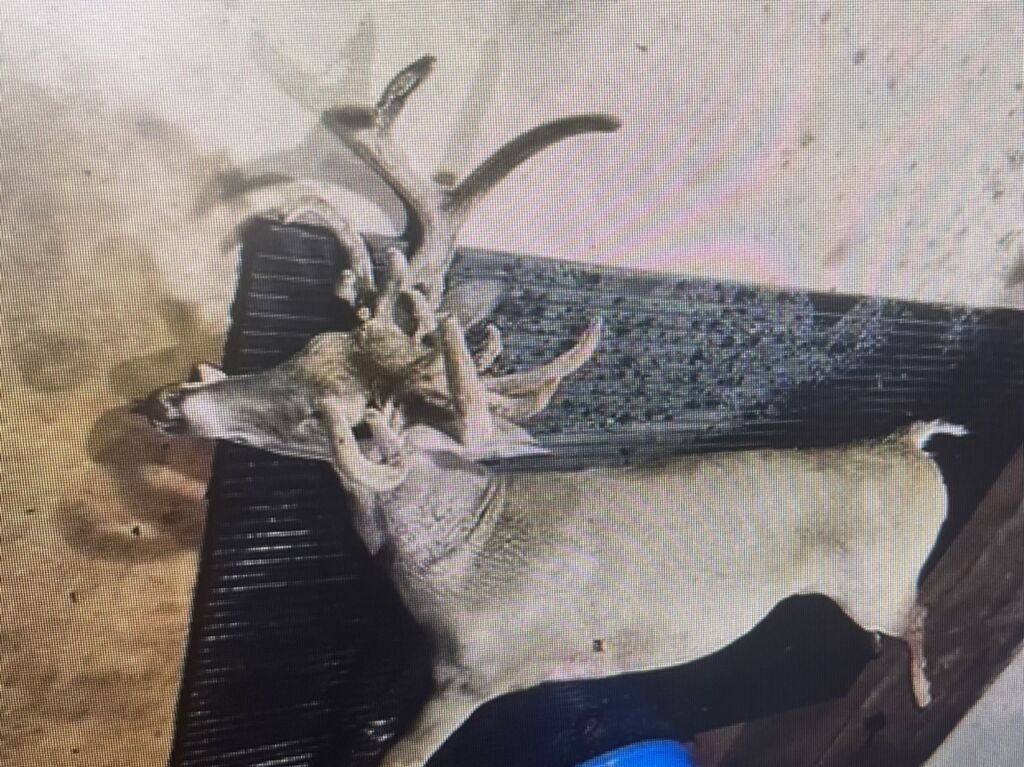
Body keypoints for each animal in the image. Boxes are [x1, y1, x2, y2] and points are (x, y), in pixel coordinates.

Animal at [136, 57, 962, 767]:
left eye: (337, 417)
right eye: (308, 345)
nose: (168, 400)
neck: (461, 546)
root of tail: (913, 442)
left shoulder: (478, 670)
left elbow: (397, 755)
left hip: (878, 582)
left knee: (916, 616)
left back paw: (921, 691)